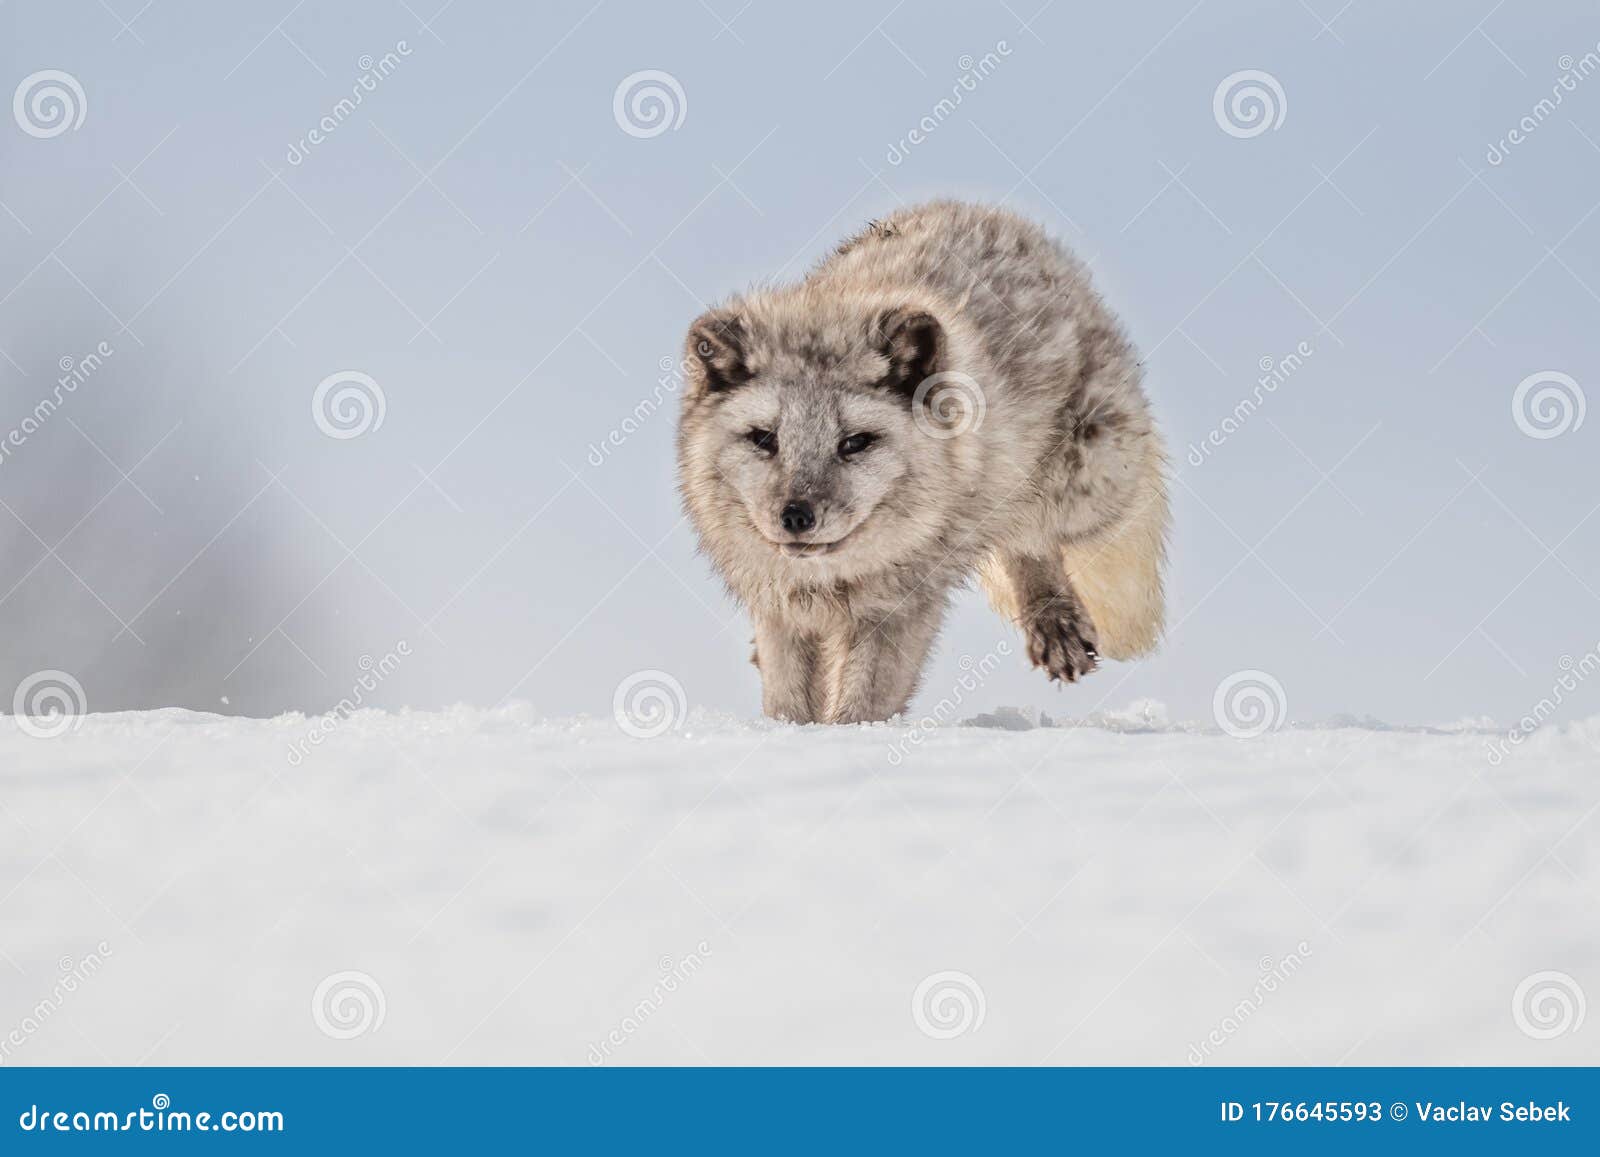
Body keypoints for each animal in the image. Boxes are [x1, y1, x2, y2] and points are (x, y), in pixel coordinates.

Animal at [676, 200, 1169, 724]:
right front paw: (791, 732)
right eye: (764, 438)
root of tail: (982, 210)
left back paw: (1056, 620)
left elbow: (864, 704)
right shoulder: (780, 607)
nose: (795, 516)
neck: (830, 582)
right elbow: (788, 700)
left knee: (1031, 532)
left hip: (1083, 479)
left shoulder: (902, 606)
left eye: (856, 442)